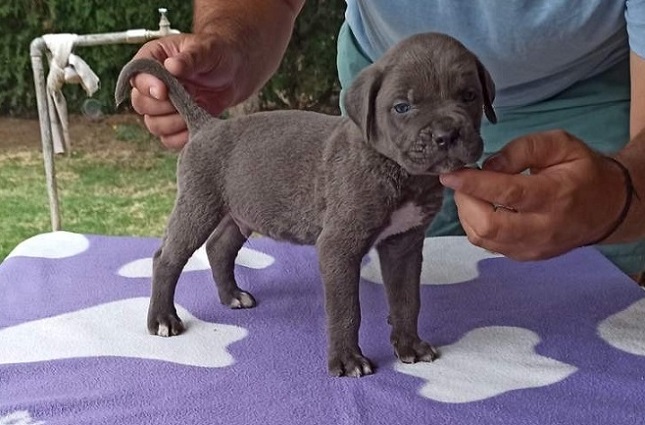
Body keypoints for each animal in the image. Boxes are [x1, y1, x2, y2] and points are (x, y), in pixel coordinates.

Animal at [115, 33, 496, 378]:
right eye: (402, 107)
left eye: (469, 96)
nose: (446, 135)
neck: (399, 171)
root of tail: (207, 125)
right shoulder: (339, 246)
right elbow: (347, 309)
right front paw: (348, 361)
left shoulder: (404, 244)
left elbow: (407, 300)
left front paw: (409, 346)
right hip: (198, 204)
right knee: (167, 258)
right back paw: (163, 319)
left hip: (240, 209)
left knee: (219, 247)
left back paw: (232, 295)